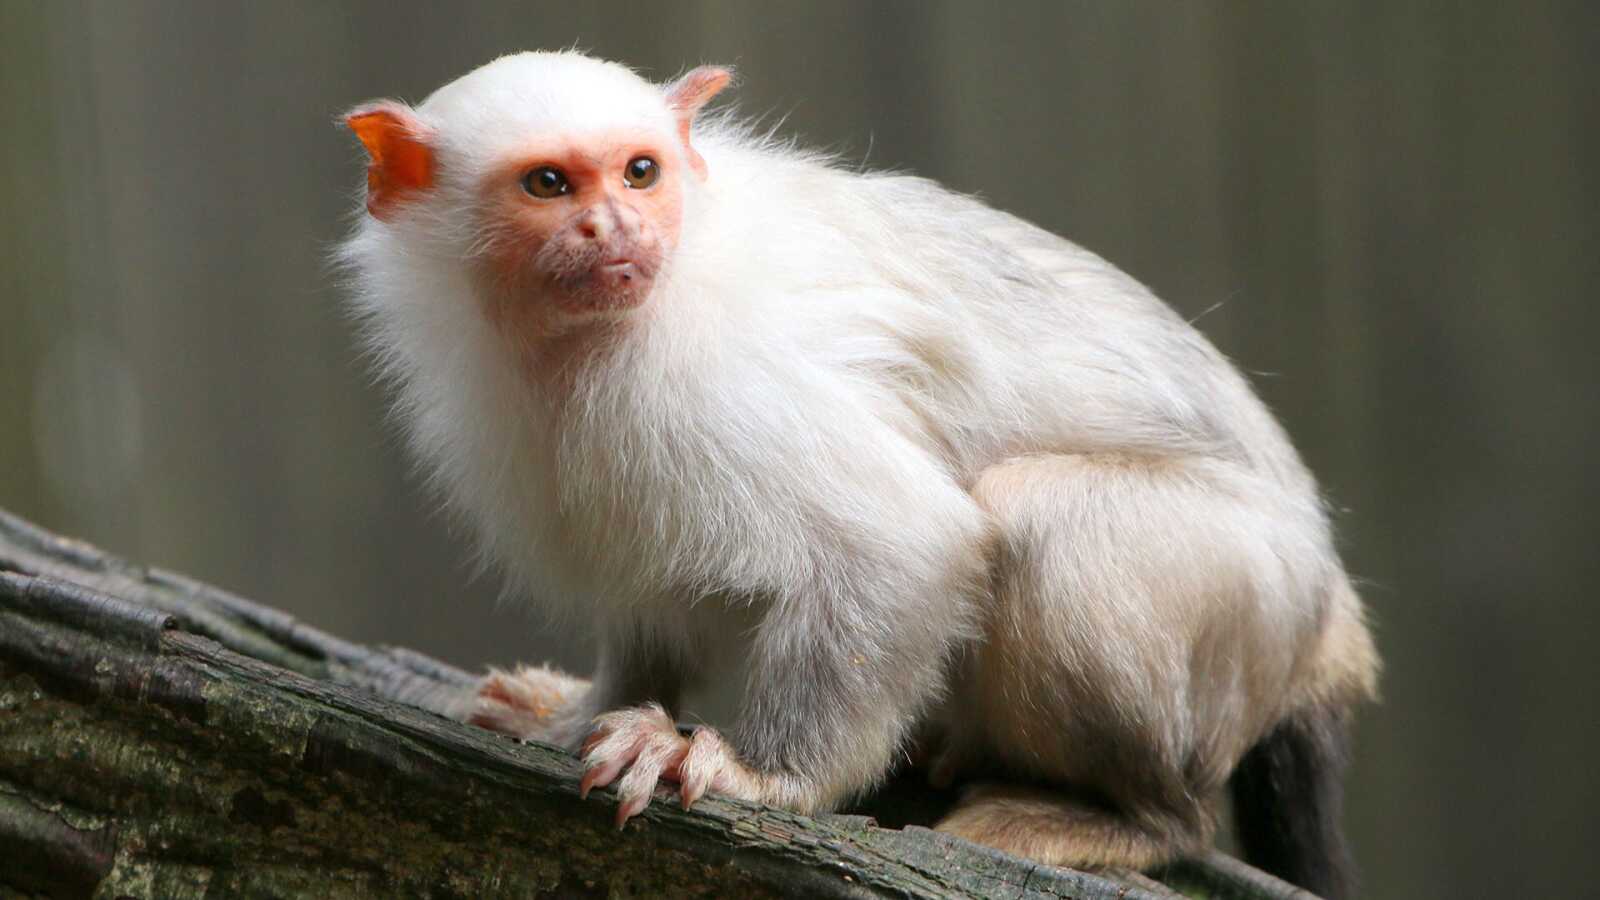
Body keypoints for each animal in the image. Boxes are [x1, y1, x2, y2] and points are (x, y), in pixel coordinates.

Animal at [339, 52, 1378, 898]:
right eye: (549, 184)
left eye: (641, 171)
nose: (613, 228)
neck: (576, 349)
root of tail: (1324, 611)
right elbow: (647, 616)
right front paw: (584, 716)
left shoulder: (720, 381)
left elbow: (905, 544)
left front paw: (758, 775)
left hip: (1240, 586)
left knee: (1038, 517)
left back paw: (1130, 819)